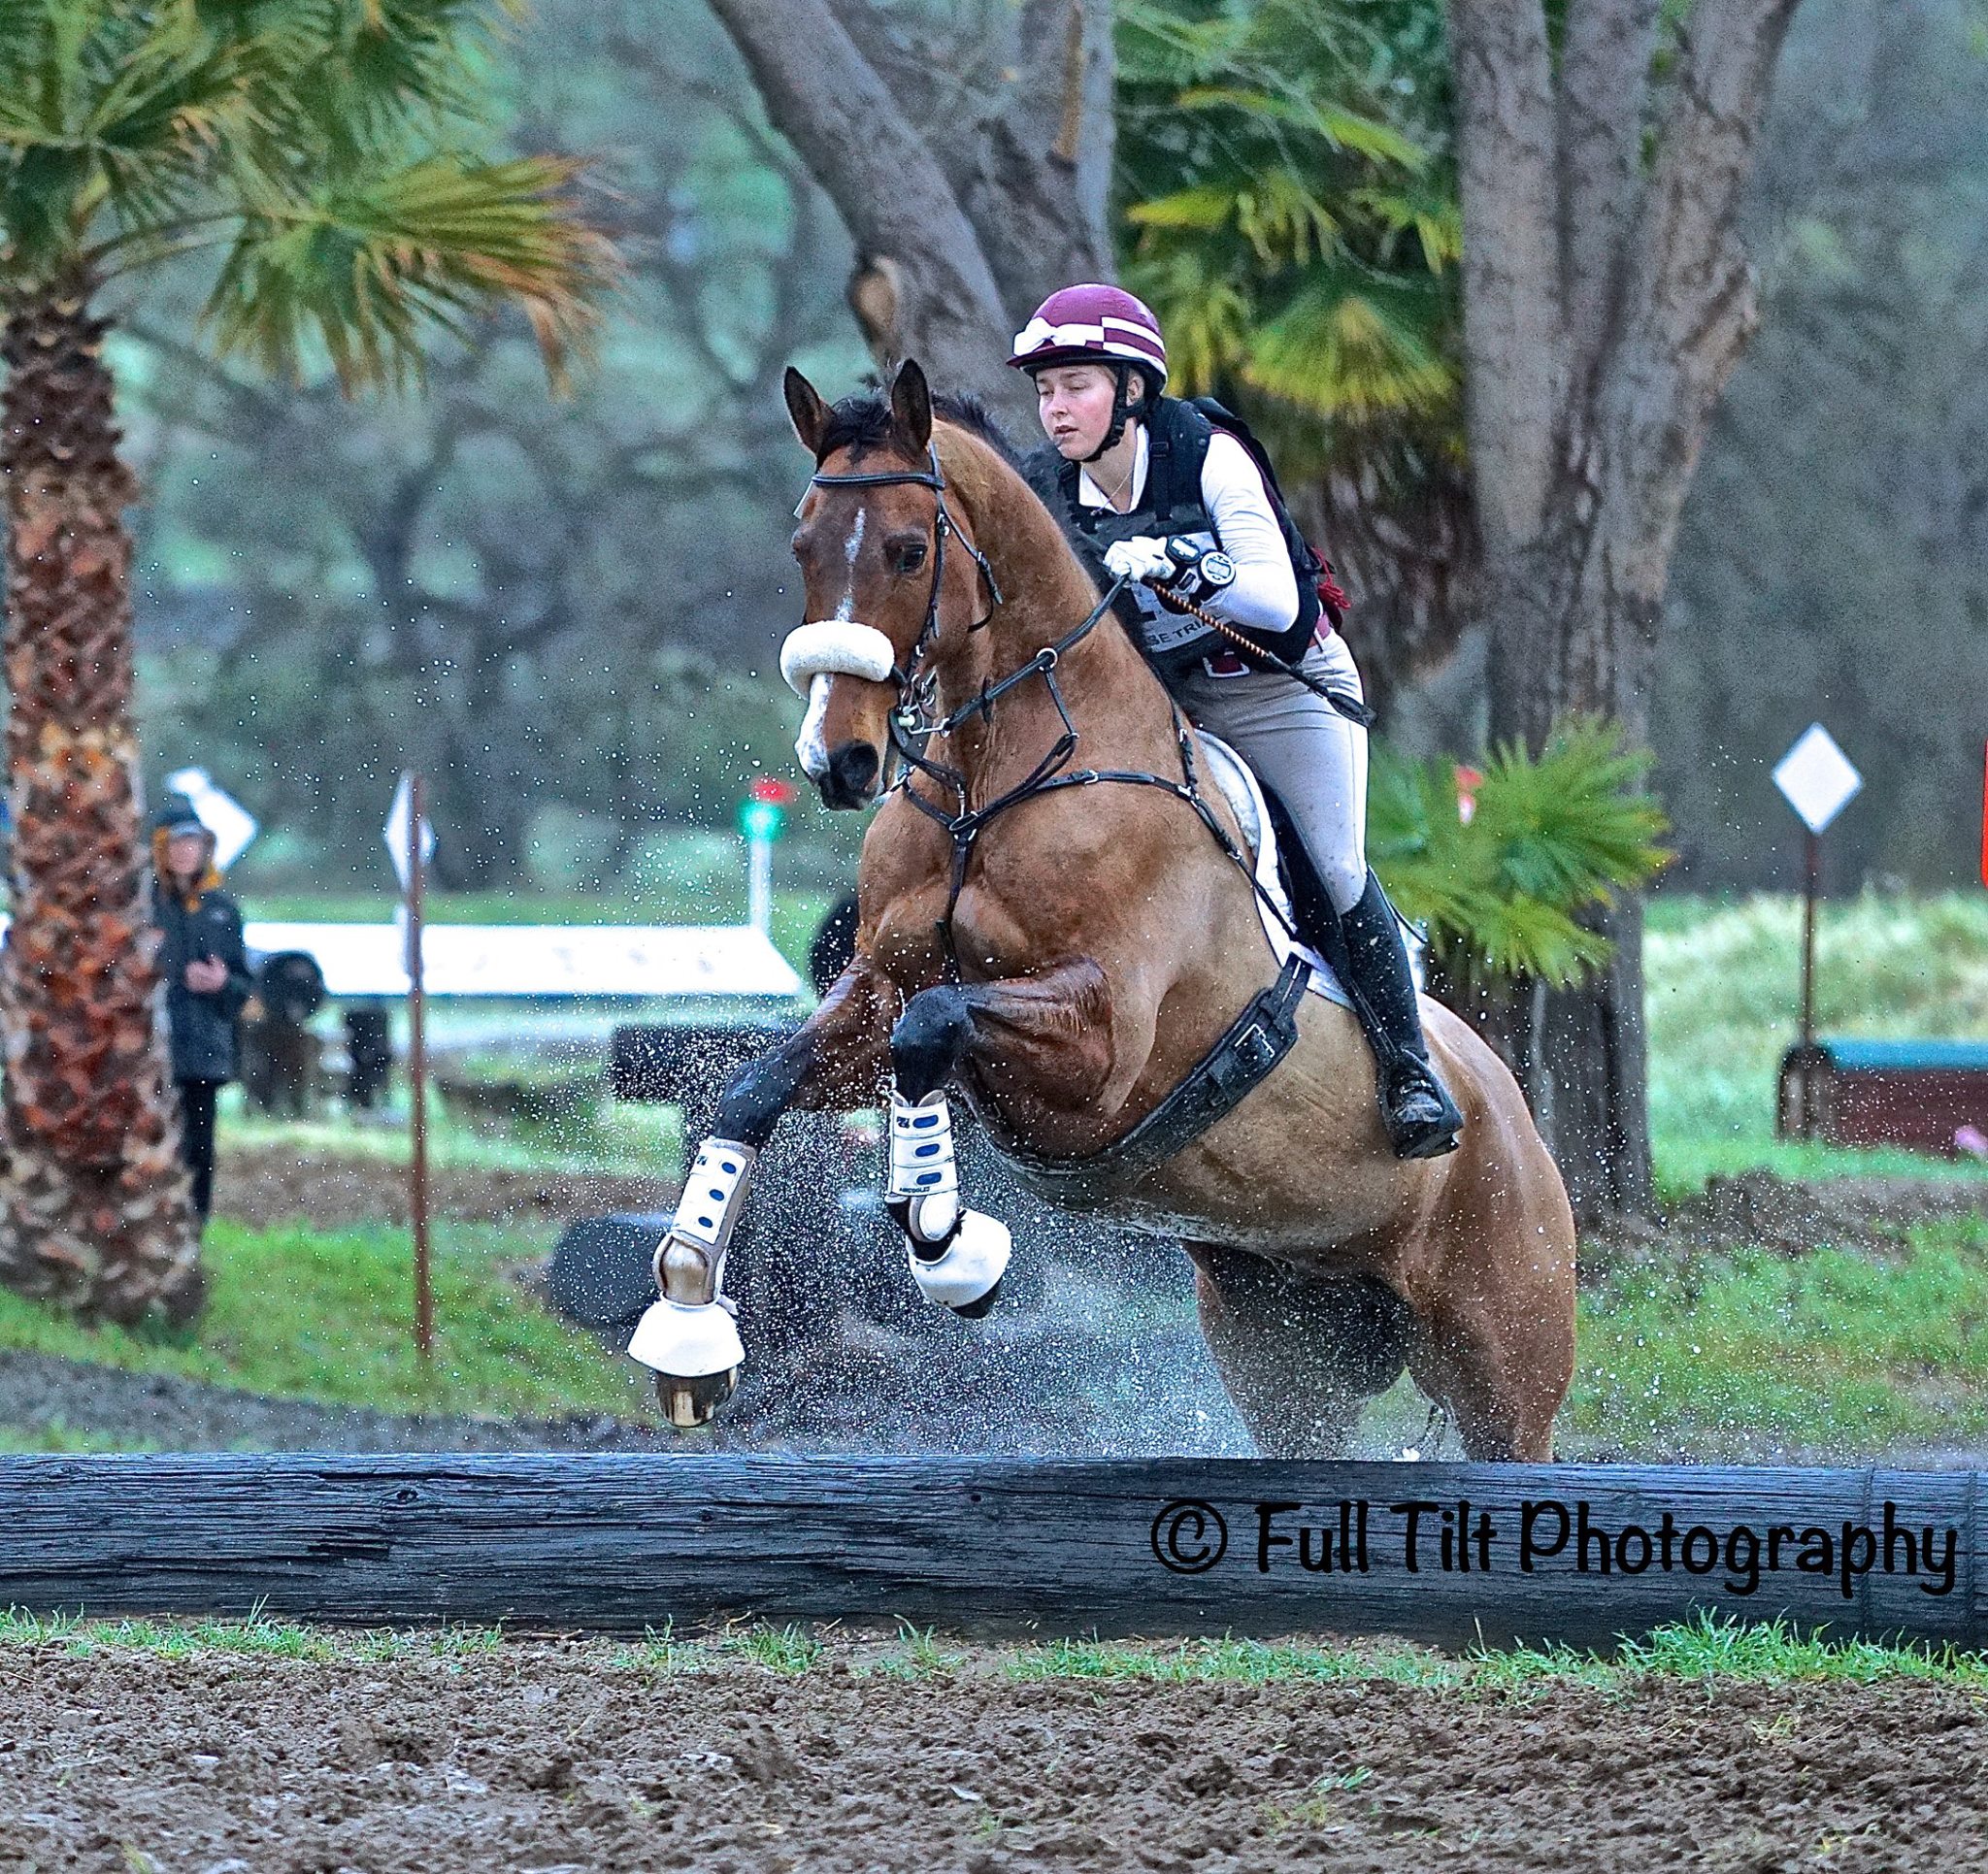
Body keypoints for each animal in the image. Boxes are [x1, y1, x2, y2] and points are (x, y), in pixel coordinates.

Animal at [626, 359, 1576, 1460]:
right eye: (801, 545)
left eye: (910, 550)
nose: (839, 760)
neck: (995, 781)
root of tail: (1516, 1117)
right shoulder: (875, 988)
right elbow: (763, 1081)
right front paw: (688, 1318)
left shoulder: (1104, 1046)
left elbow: (930, 1029)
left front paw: (948, 1244)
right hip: (1282, 1349)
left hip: (1504, 1373)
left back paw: (1423, 1103)